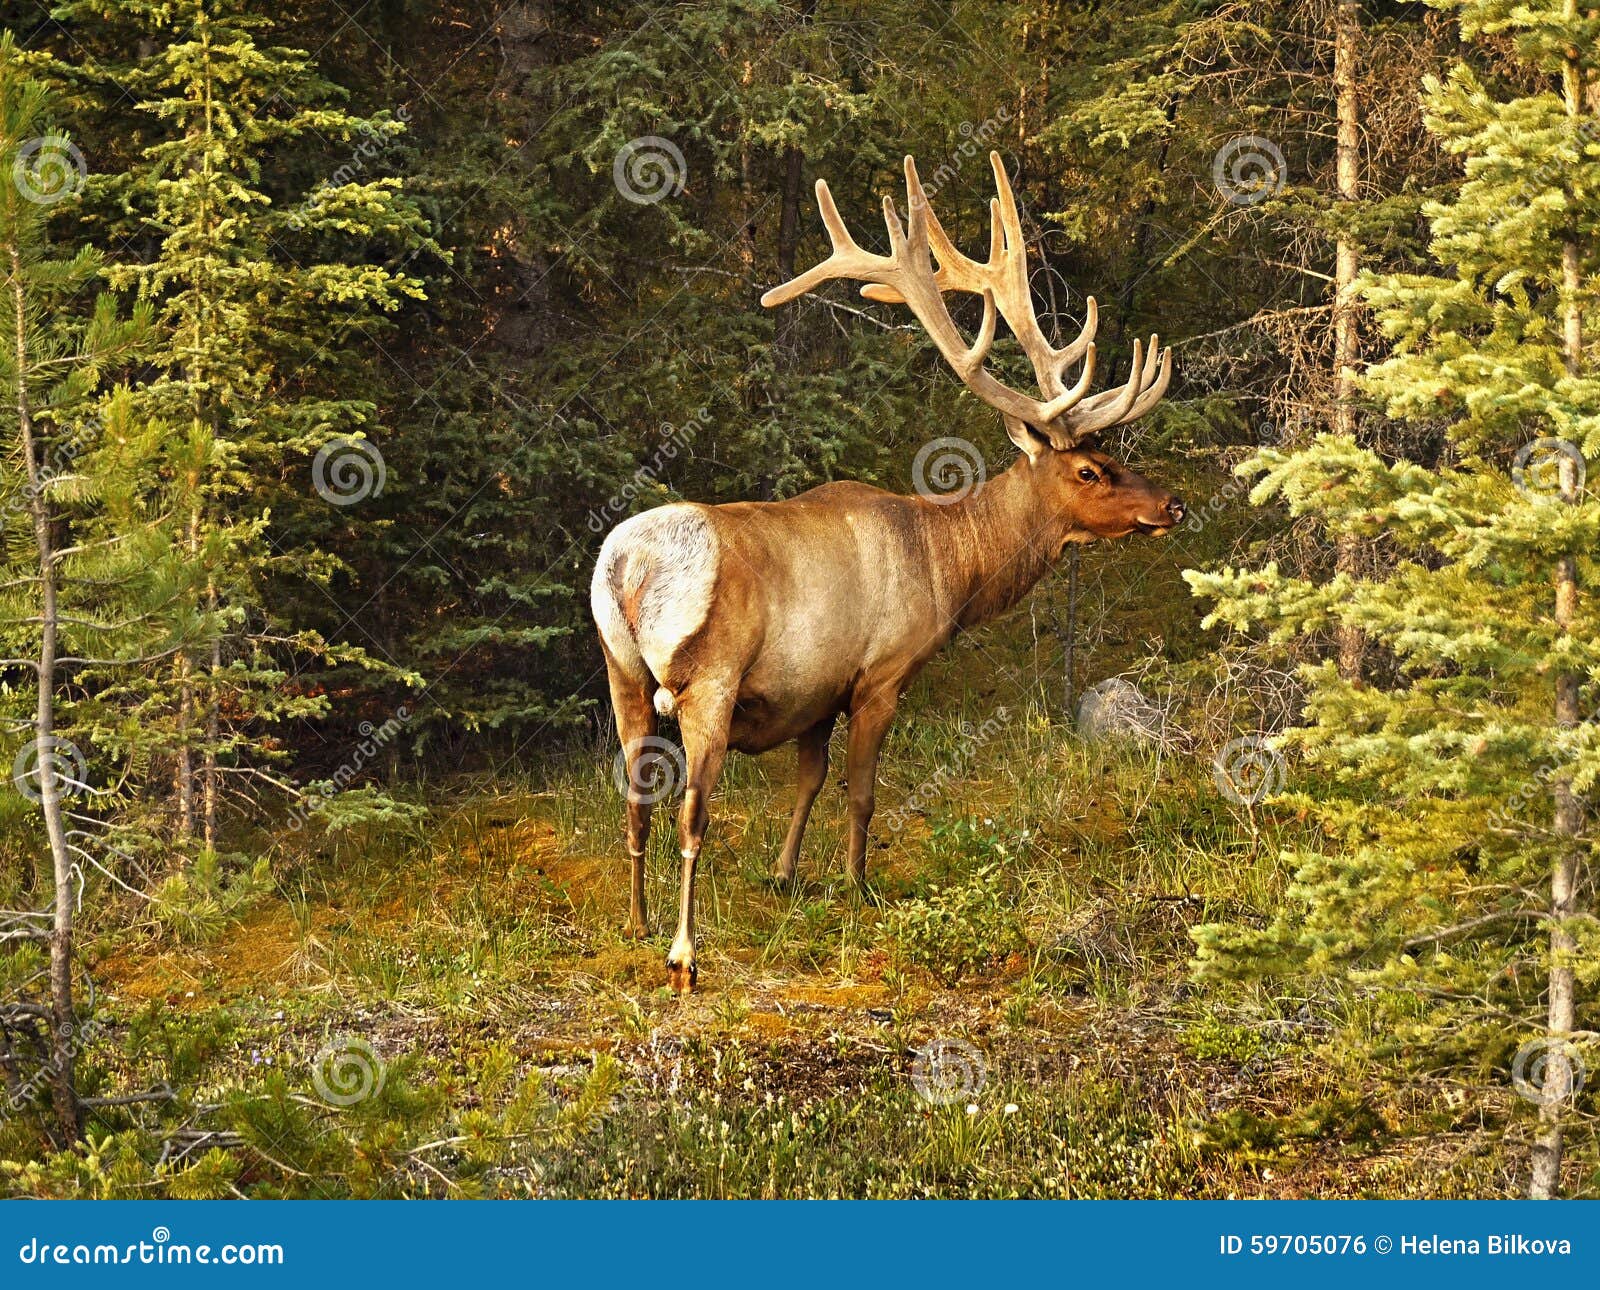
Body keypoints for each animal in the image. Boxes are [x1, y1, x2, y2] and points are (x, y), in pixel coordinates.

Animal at [591, 150, 1183, 993]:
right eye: (1093, 470)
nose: (1172, 504)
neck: (948, 566)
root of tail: (626, 567)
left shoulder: (814, 687)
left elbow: (808, 778)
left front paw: (785, 873)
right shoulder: (882, 671)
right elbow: (863, 791)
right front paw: (858, 885)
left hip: (621, 670)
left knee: (636, 795)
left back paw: (637, 922)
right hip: (708, 677)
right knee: (690, 809)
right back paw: (684, 952)